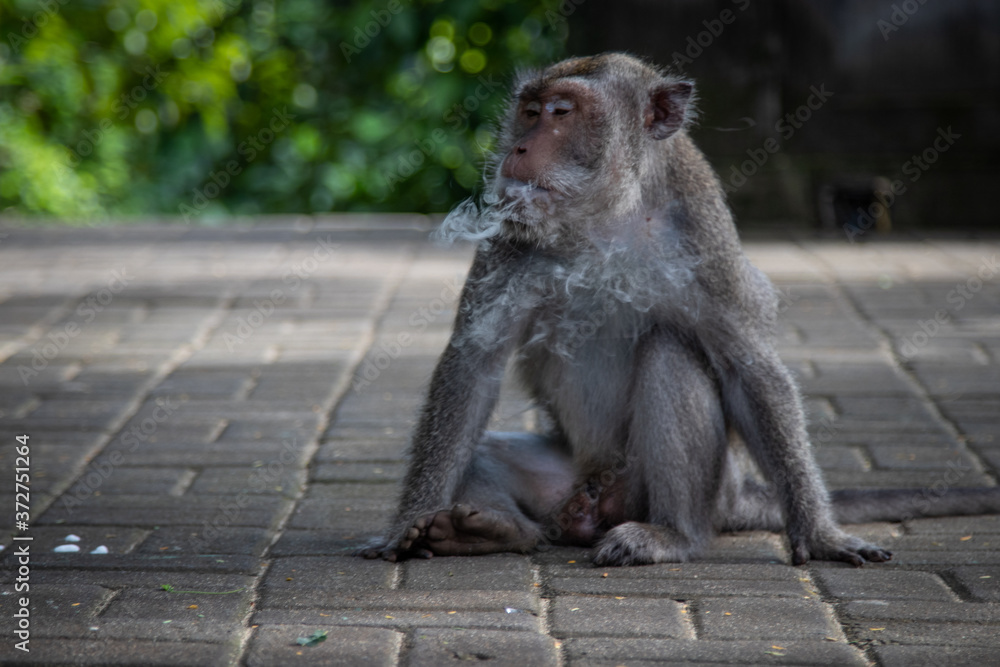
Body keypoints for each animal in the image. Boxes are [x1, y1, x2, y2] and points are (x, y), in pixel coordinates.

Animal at [360, 53, 1000, 567]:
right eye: (530, 111)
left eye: (562, 112)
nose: (518, 147)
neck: (609, 214)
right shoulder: (513, 236)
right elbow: (474, 363)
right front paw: (407, 523)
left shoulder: (703, 235)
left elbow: (748, 369)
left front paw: (821, 537)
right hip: (567, 480)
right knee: (490, 450)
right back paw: (495, 532)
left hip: (691, 488)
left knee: (671, 353)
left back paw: (672, 536)